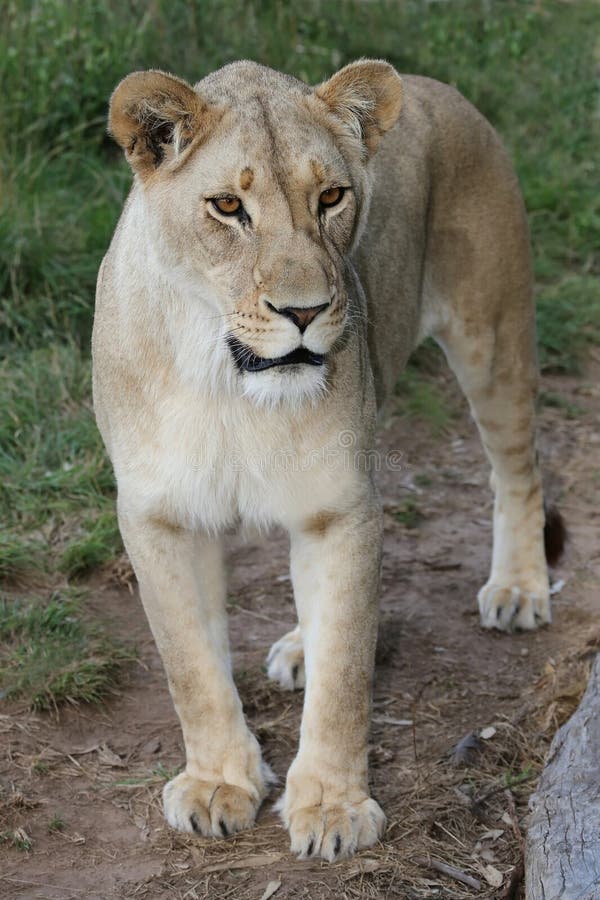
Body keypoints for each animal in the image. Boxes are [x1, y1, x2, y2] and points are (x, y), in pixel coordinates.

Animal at [92, 59, 564, 861]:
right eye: (227, 206)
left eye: (332, 197)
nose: (305, 312)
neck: (226, 381)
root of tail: (438, 85)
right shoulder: (159, 516)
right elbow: (192, 666)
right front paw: (219, 784)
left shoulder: (341, 506)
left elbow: (345, 674)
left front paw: (333, 807)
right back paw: (297, 647)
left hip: (493, 338)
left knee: (518, 471)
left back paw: (518, 588)